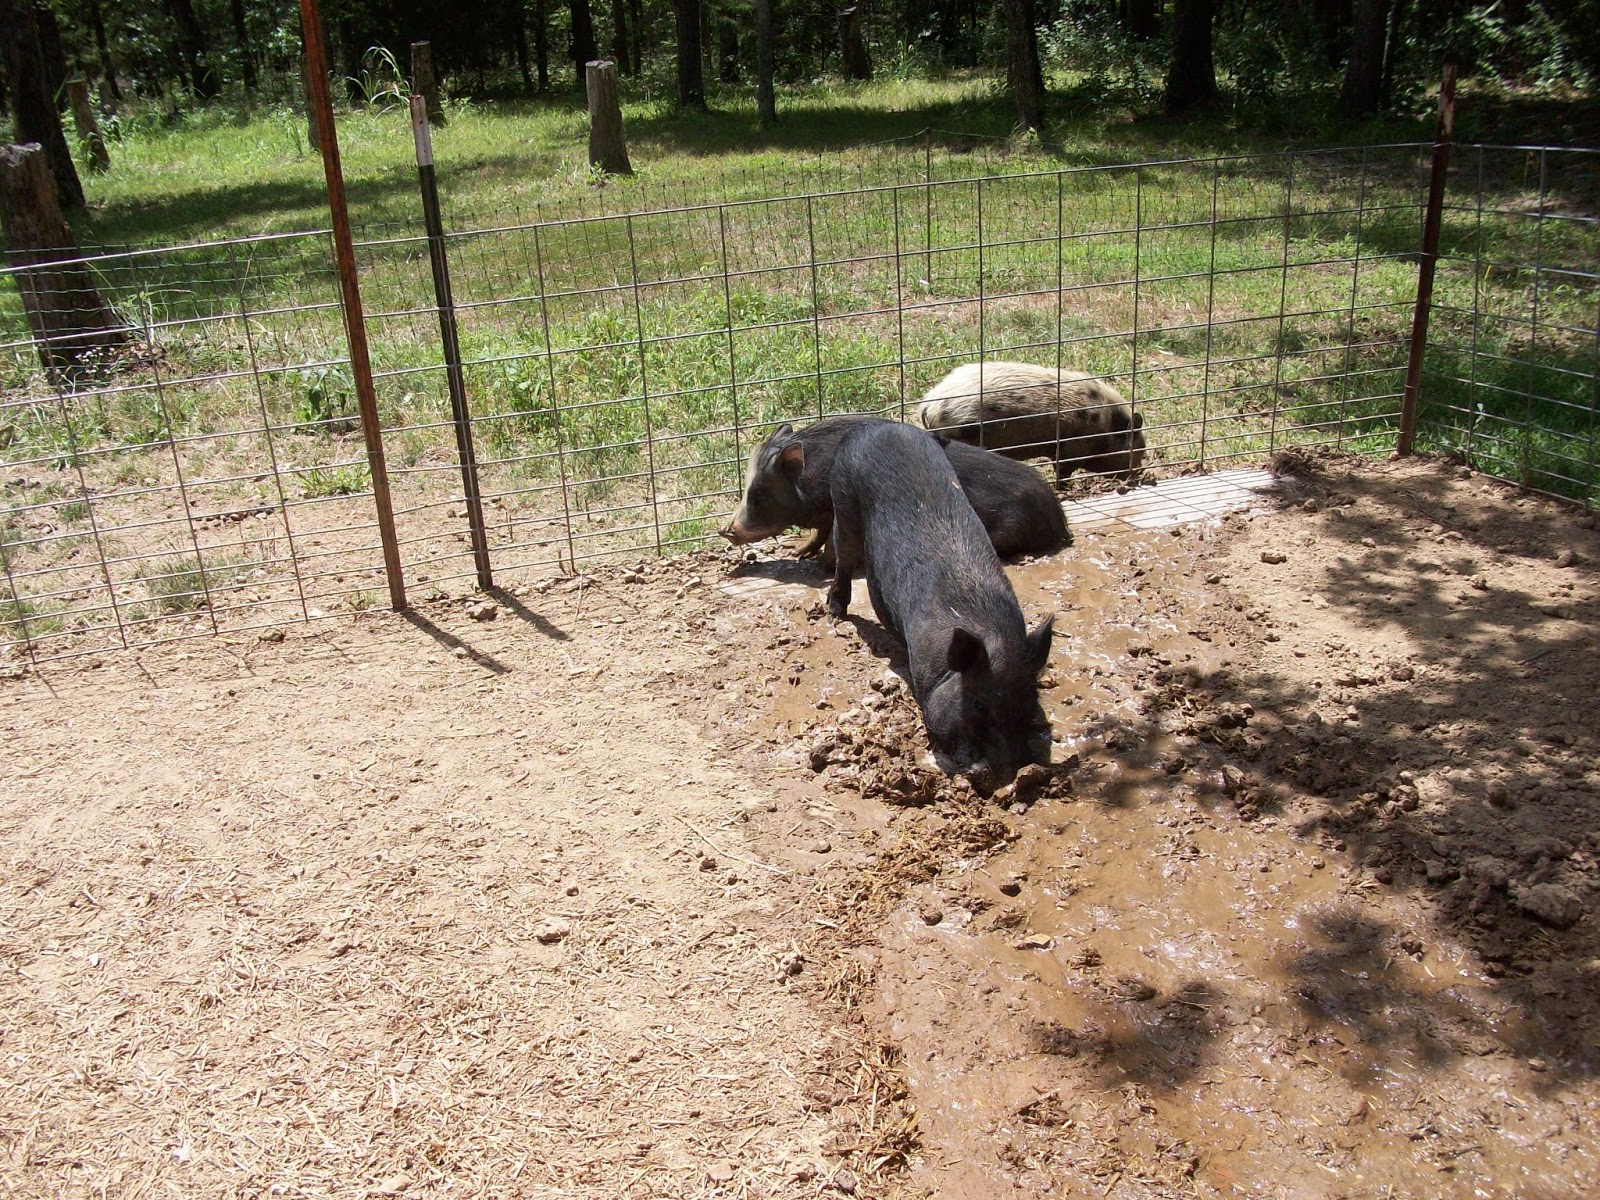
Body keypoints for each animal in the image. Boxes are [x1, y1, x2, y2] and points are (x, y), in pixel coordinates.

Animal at [721, 415, 1069, 562]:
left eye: (759, 494)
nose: (725, 529)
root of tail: (1060, 519)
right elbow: (818, 535)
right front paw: (798, 553)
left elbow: (832, 540)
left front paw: (822, 565)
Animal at [821, 420, 1054, 785]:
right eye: (977, 705)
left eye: (1029, 705)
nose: (1005, 773)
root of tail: (878, 424)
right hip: (842, 498)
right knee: (843, 556)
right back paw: (834, 614)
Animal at [914, 361, 1147, 482]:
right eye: (1140, 450)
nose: (1139, 472)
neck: (1107, 426)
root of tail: (928, 405)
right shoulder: (1071, 448)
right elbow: (1061, 471)